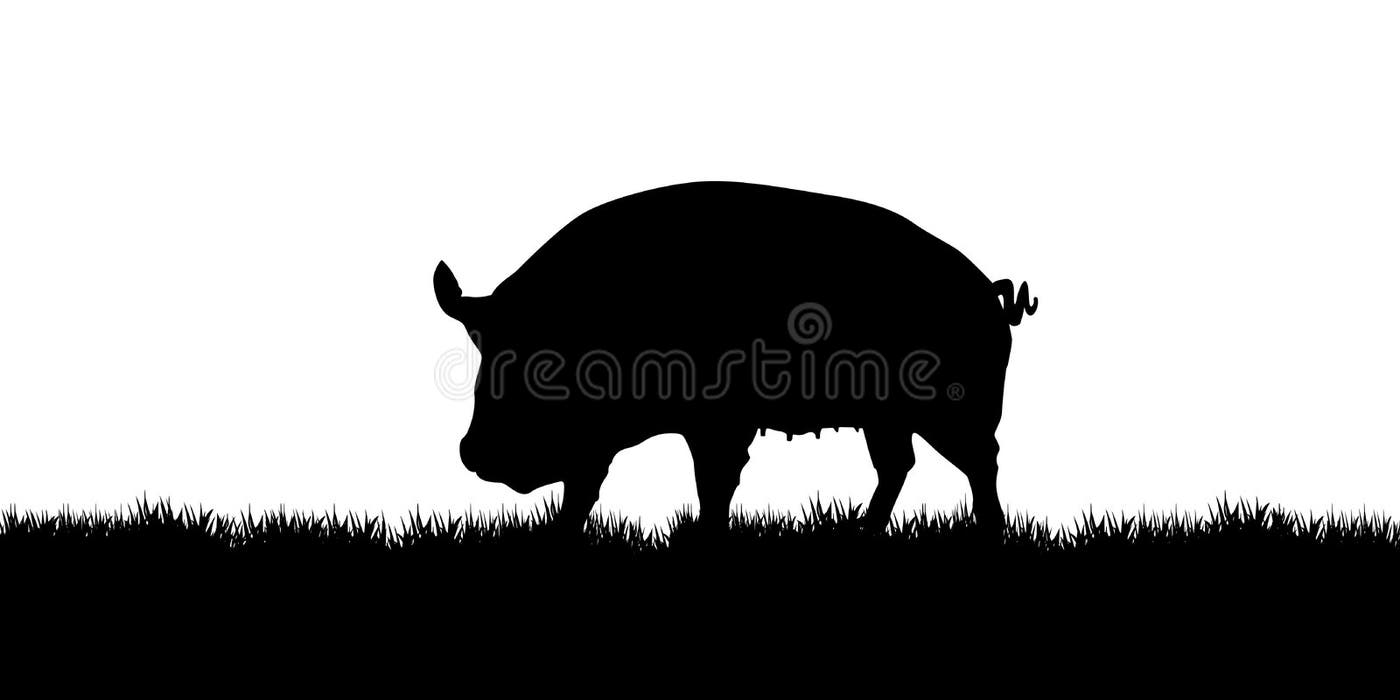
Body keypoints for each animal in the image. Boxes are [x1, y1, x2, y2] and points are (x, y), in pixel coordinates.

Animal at [434, 181, 1037, 533]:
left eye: (543, 363)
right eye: (484, 350)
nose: (476, 453)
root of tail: (989, 292)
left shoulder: (721, 423)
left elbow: (714, 483)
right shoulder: (607, 439)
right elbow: (583, 490)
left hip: (956, 410)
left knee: (980, 461)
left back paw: (990, 532)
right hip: (886, 419)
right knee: (899, 464)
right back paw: (862, 534)